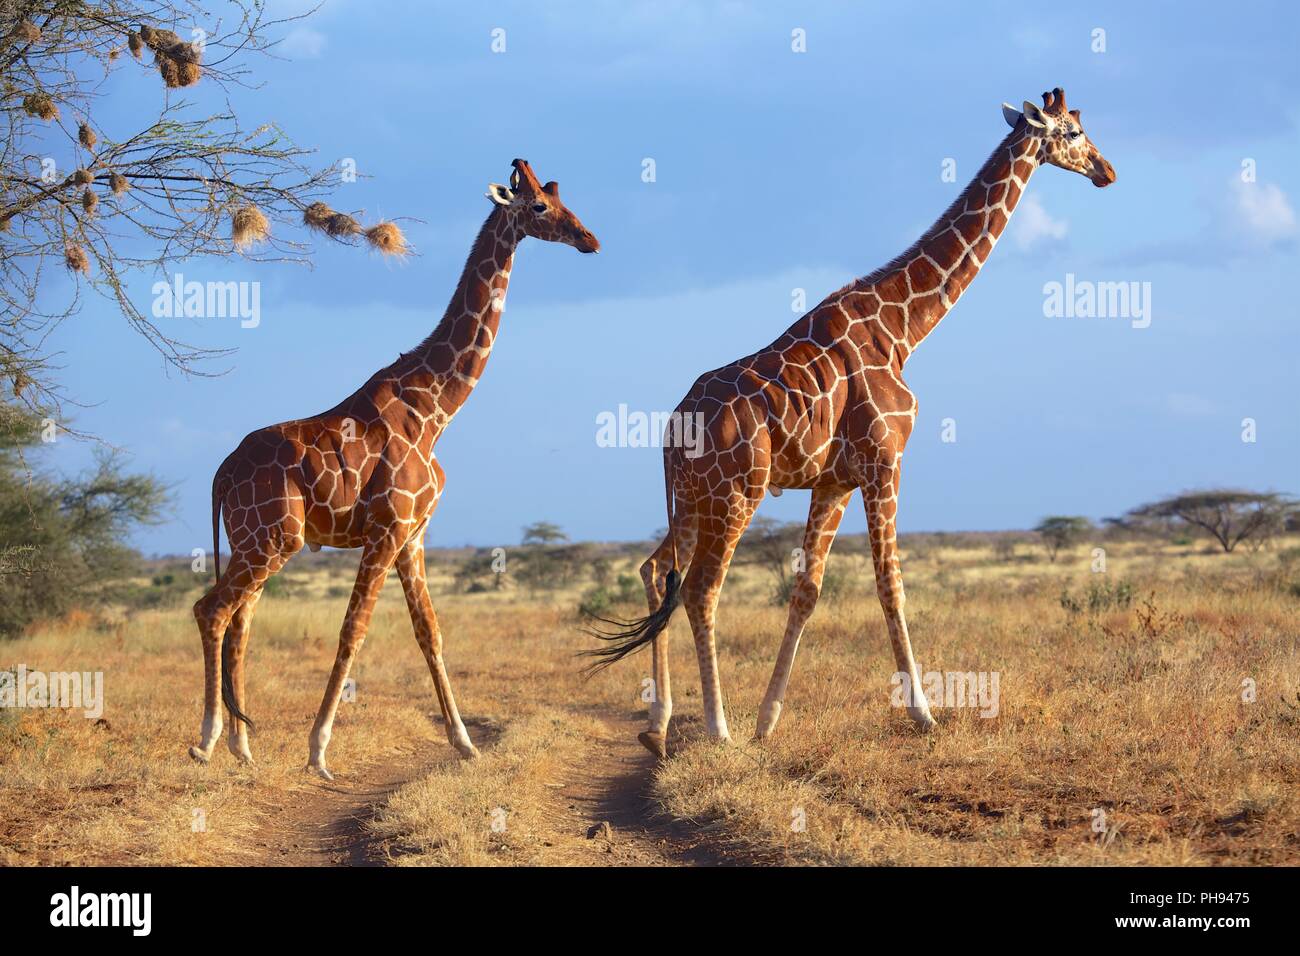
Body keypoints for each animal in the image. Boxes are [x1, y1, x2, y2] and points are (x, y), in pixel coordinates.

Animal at [190, 159, 600, 779]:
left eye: (560, 198)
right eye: (539, 207)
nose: (589, 240)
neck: (437, 408)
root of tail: (219, 474)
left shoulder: (414, 534)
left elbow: (429, 631)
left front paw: (464, 741)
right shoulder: (385, 530)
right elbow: (352, 630)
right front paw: (318, 751)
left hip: (253, 543)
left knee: (240, 618)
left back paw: (243, 745)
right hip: (271, 540)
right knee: (212, 609)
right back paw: (208, 740)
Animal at [586, 89, 1115, 758]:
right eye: (1072, 131)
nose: (1106, 170)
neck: (905, 327)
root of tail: (670, 430)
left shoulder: (833, 479)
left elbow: (807, 591)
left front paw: (769, 721)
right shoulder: (885, 461)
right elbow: (890, 582)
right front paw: (923, 713)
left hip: (690, 496)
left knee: (657, 569)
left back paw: (659, 724)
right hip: (736, 492)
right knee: (702, 588)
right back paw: (716, 727)